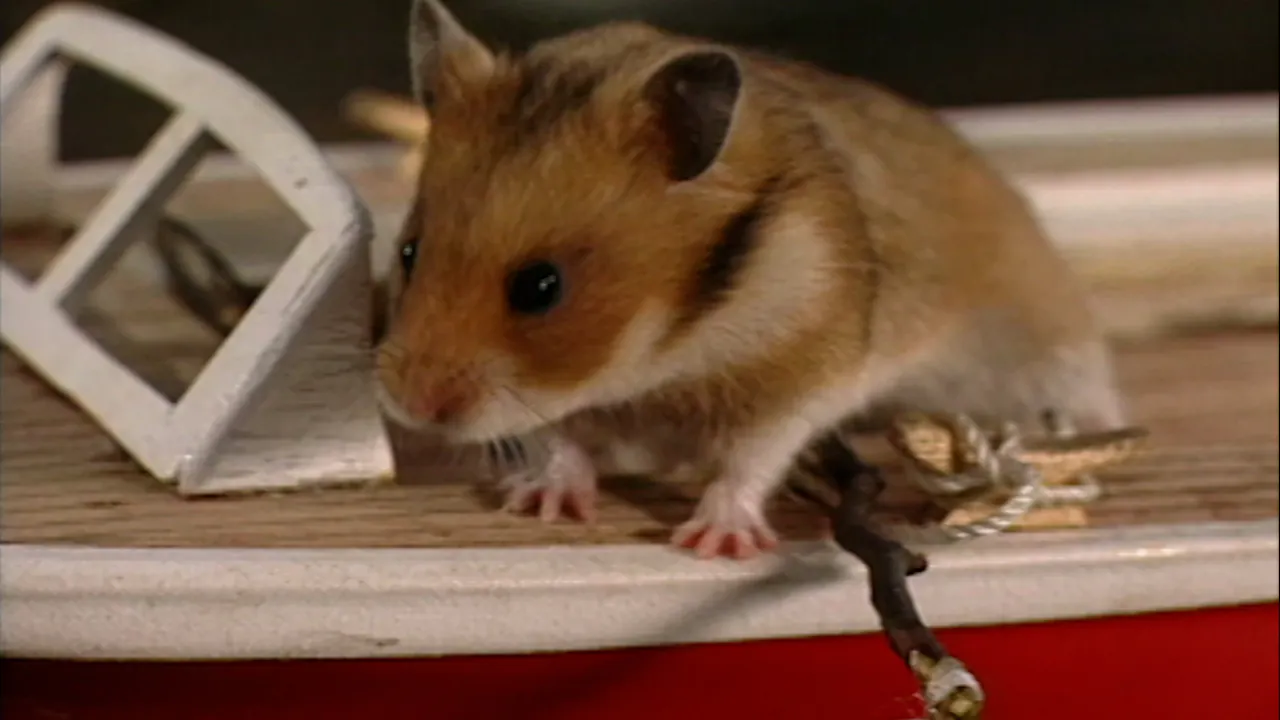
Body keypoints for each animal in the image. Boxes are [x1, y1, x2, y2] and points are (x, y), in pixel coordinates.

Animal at [375, 0, 1128, 559]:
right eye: (409, 252)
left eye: (541, 286)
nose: (410, 409)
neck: (674, 343)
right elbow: (556, 434)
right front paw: (543, 505)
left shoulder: (805, 368)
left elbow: (753, 454)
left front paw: (712, 544)